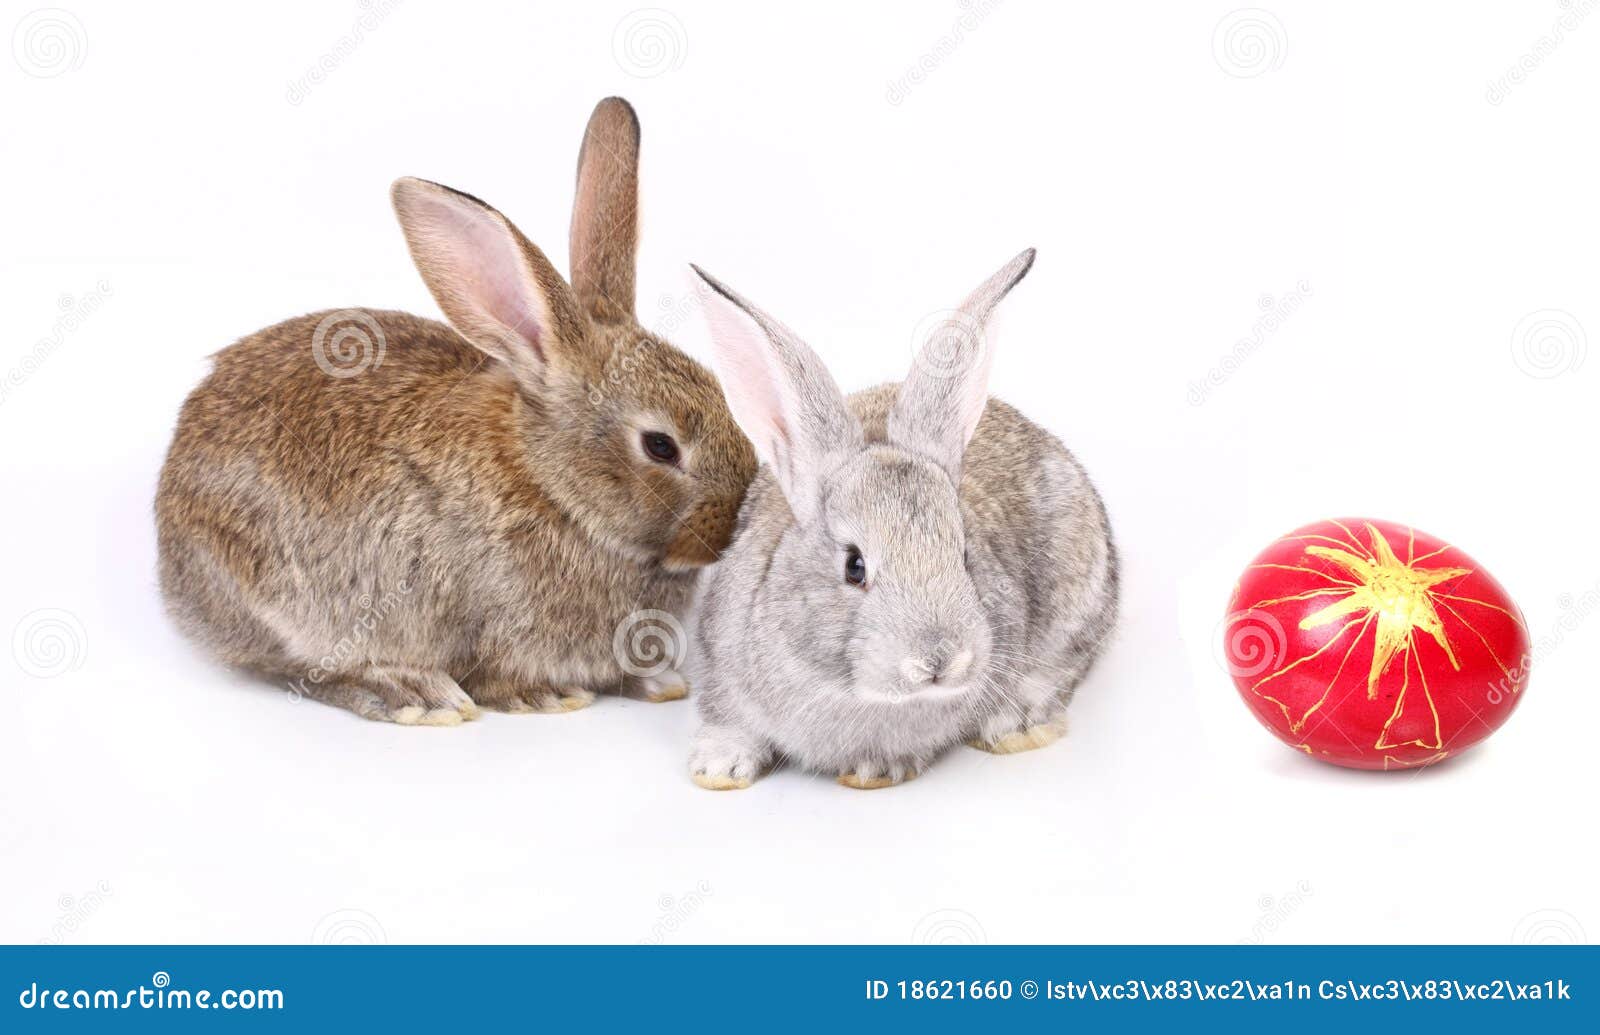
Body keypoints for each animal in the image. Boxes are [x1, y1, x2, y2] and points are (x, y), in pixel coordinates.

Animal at [155, 97, 756, 725]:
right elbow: (495, 673)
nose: (733, 521)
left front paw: (655, 682)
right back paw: (411, 693)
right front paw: (543, 695)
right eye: (660, 446)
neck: (553, 488)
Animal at [685, 249, 1118, 788]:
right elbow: (727, 718)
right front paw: (718, 767)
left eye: (965, 556)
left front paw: (873, 770)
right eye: (854, 566)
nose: (940, 661)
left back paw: (1015, 725)